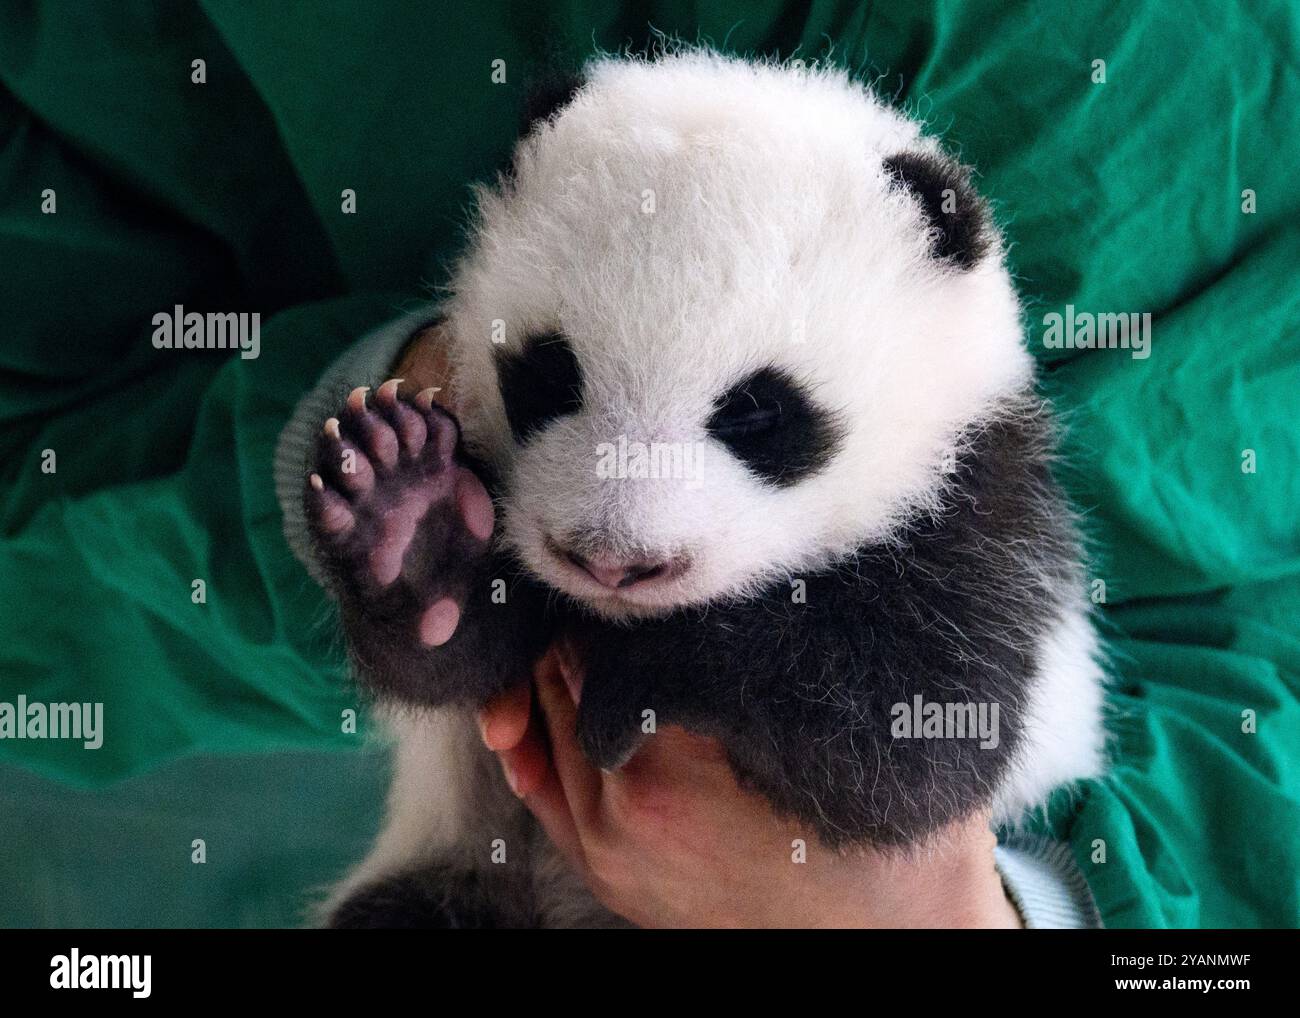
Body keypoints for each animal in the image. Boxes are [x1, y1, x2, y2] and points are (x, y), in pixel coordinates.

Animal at [294, 49, 1107, 927]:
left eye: (755, 411)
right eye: (549, 373)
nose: (611, 562)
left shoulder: (983, 507)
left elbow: (911, 738)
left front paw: (646, 683)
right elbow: (463, 659)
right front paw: (418, 531)